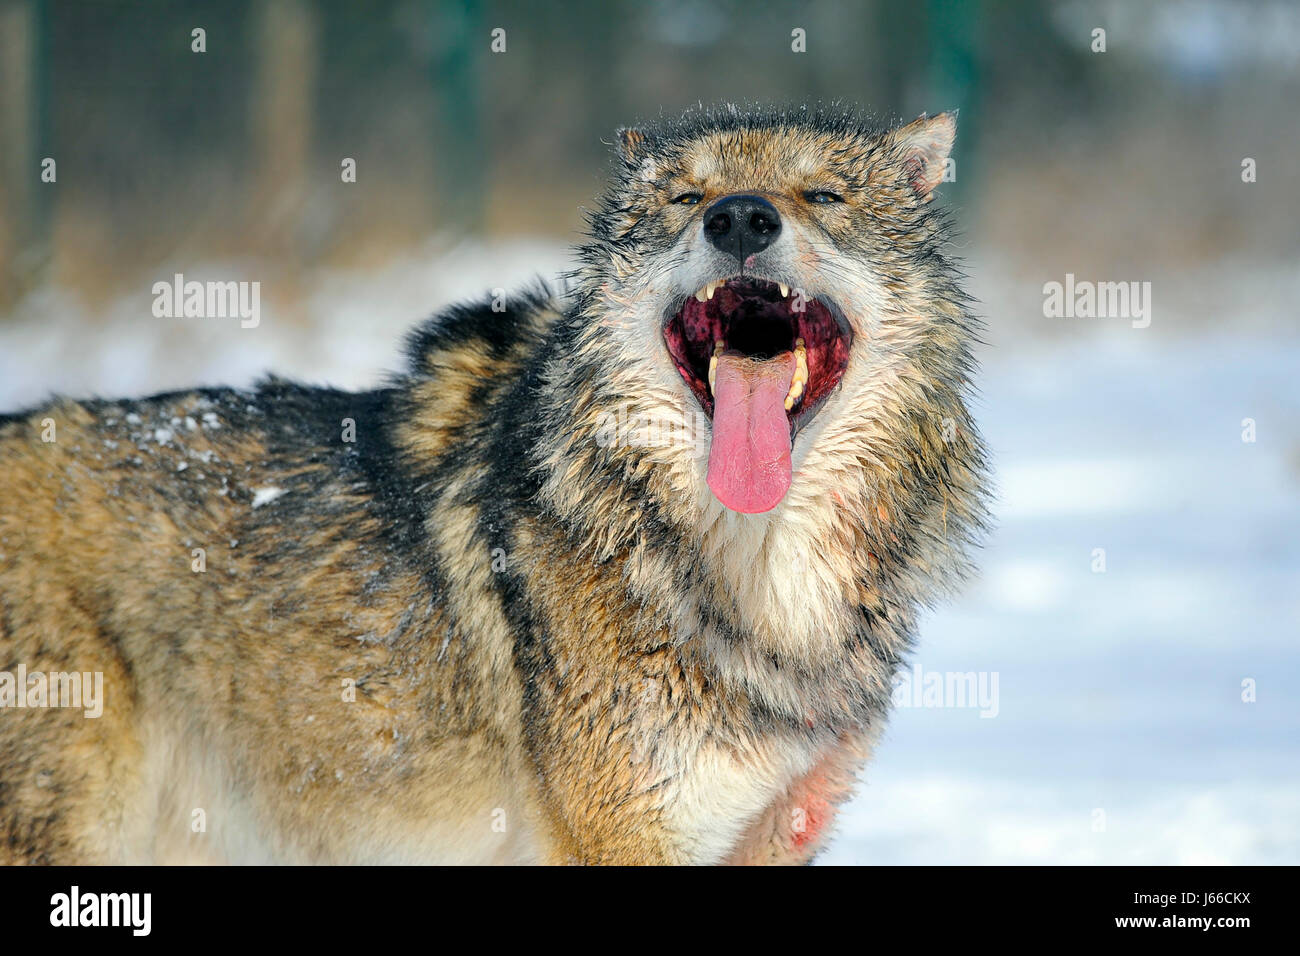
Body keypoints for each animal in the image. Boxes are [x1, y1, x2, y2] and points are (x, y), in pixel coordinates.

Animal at [0, 105, 987, 864]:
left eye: (824, 196)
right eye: (685, 199)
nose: (739, 219)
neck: (758, 577)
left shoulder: (779, 832)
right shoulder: (621, 839)